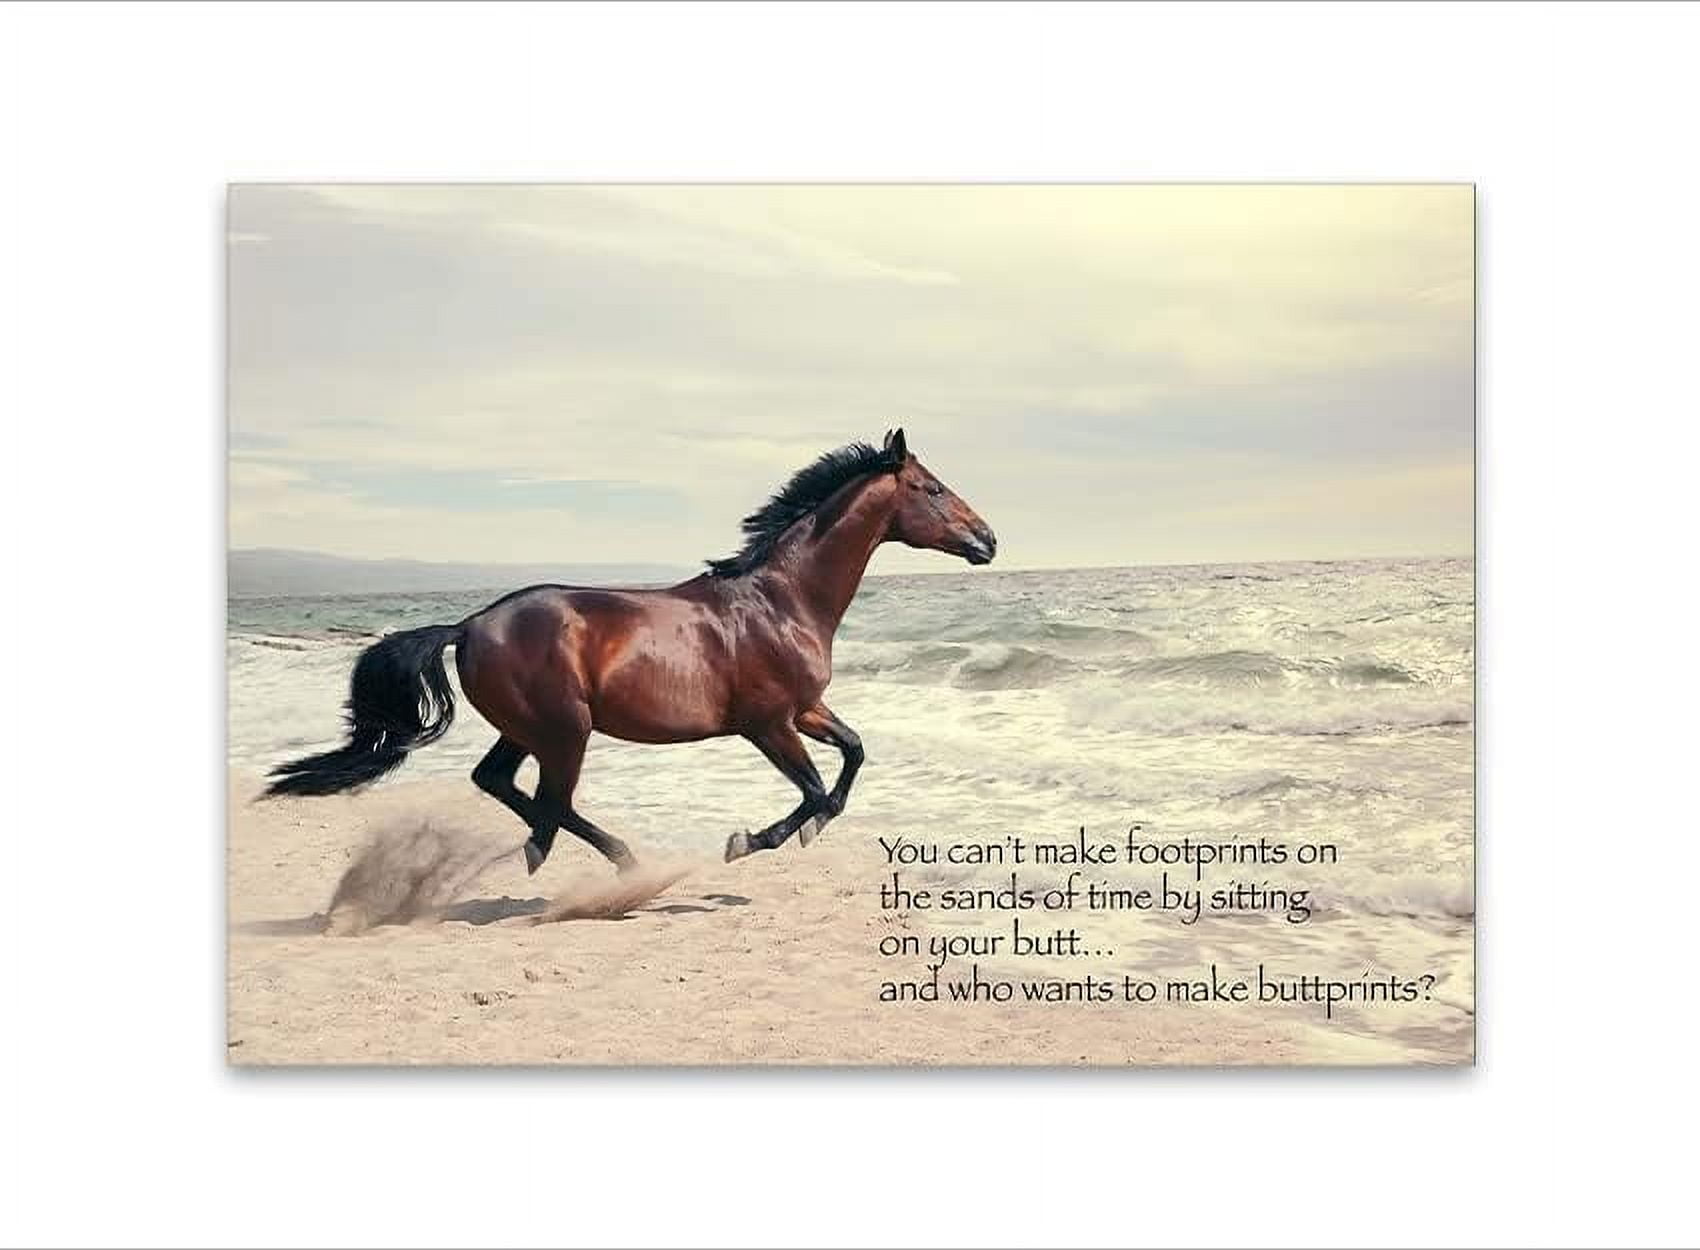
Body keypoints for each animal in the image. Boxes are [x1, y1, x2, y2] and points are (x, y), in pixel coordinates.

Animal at [263, 428, 998, 871]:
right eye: (933, 488)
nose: (989, 540)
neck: (782, 599)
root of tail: (469, 624)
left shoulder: (806, 709)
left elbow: (852, 757)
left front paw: (794, 833)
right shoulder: (767, 723)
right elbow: (816, 790)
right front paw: (747, 842)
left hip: (529, 729)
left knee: (501, 783)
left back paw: (583, 856)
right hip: (566, 729)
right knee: (548, 800)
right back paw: (603, 860)